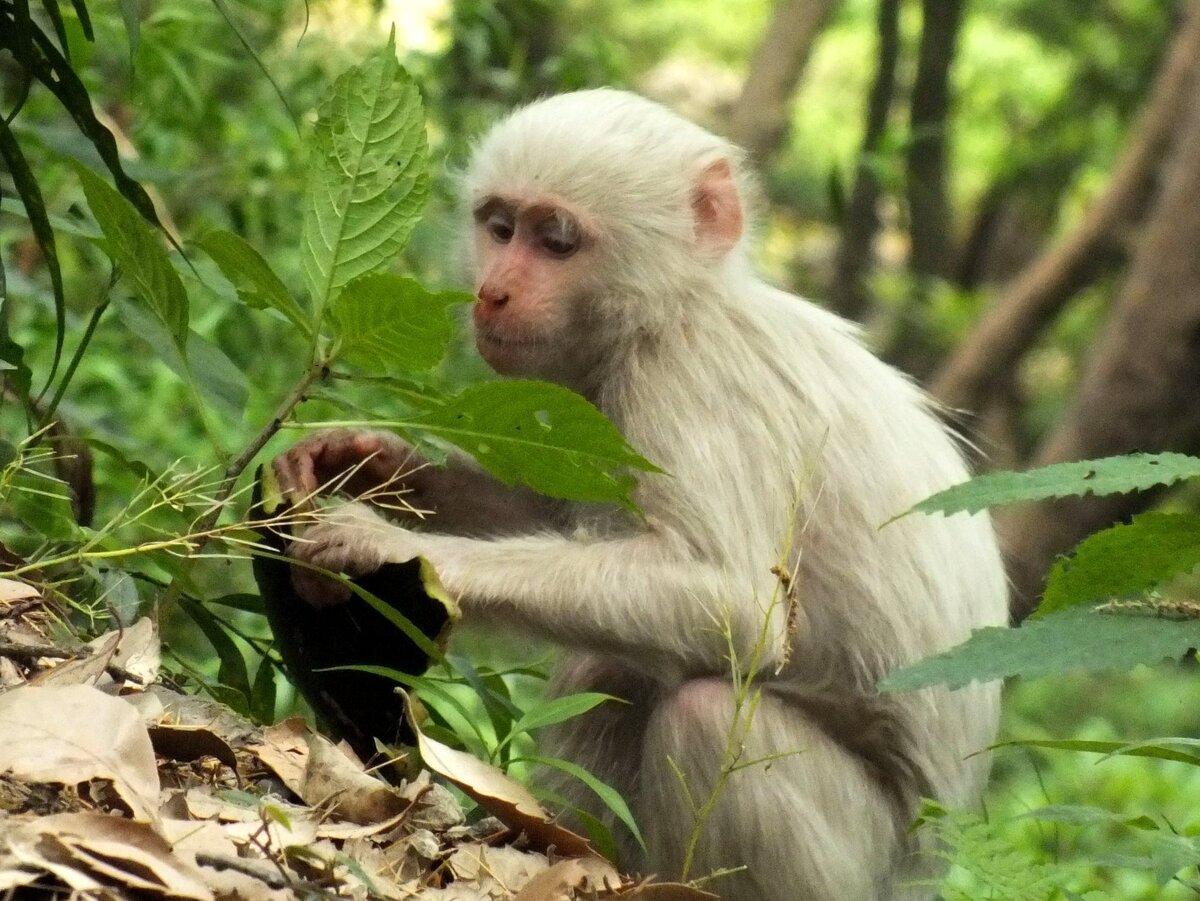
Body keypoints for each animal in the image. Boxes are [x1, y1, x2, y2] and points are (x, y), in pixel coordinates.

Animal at [276, 89, 1008, 901]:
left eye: (556, 241)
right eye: (499, 228)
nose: (492, 292)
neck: (672, 308)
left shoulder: (691, 374)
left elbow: (739, 606)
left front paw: (387, 546)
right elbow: (559, 516)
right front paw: (373, 464)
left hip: (868, 857)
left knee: (703, 709)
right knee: (610, 664)